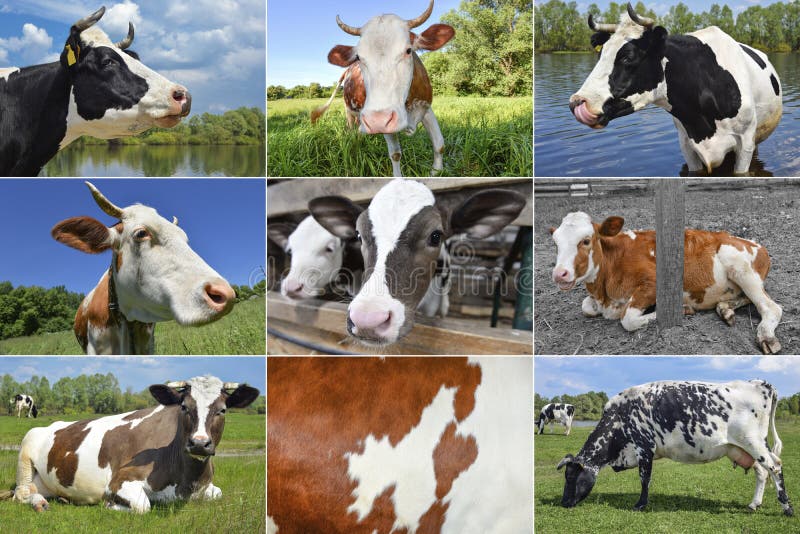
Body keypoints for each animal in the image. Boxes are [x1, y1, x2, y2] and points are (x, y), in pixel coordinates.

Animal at [2, 376, 259, 513]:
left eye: (222, 410)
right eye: (184, 407)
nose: (199, 443)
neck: (188, 481)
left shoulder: (208, 487)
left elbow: (218, 493)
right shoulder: (120, 479)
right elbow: (144, 505)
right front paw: (110, 505)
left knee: (31, 490)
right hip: (25, 450)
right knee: (21, 493)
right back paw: (40, 504)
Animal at [311, 0, 455, 177]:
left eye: (409, 50)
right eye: (359, 57)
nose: (376, 121)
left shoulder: (426, 107)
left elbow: (439, 144)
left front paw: (436, 172)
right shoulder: (385, 126)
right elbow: (395, 154)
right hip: (349, 111)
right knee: (351, 129)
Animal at [549, 212, 782, 354]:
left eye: (586, 241)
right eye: (556, 244)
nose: (559, 274)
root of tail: (758, 245)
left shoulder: (653, 283)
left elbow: (628, 319)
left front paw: (682, 309)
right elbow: (586, 307)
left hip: (740, 267)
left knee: (772, 307)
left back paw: (766, 337)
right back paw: (725, 310)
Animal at [557, 380, 793, 516]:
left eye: (571, 476)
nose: (563, 503)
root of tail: (760, 383)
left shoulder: (644, 448)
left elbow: (644, 479)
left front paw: (640, 505)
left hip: (753, 442)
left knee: (775, 466)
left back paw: (787, 507)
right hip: (746, 447)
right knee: (762, 472)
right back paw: (754, 504)